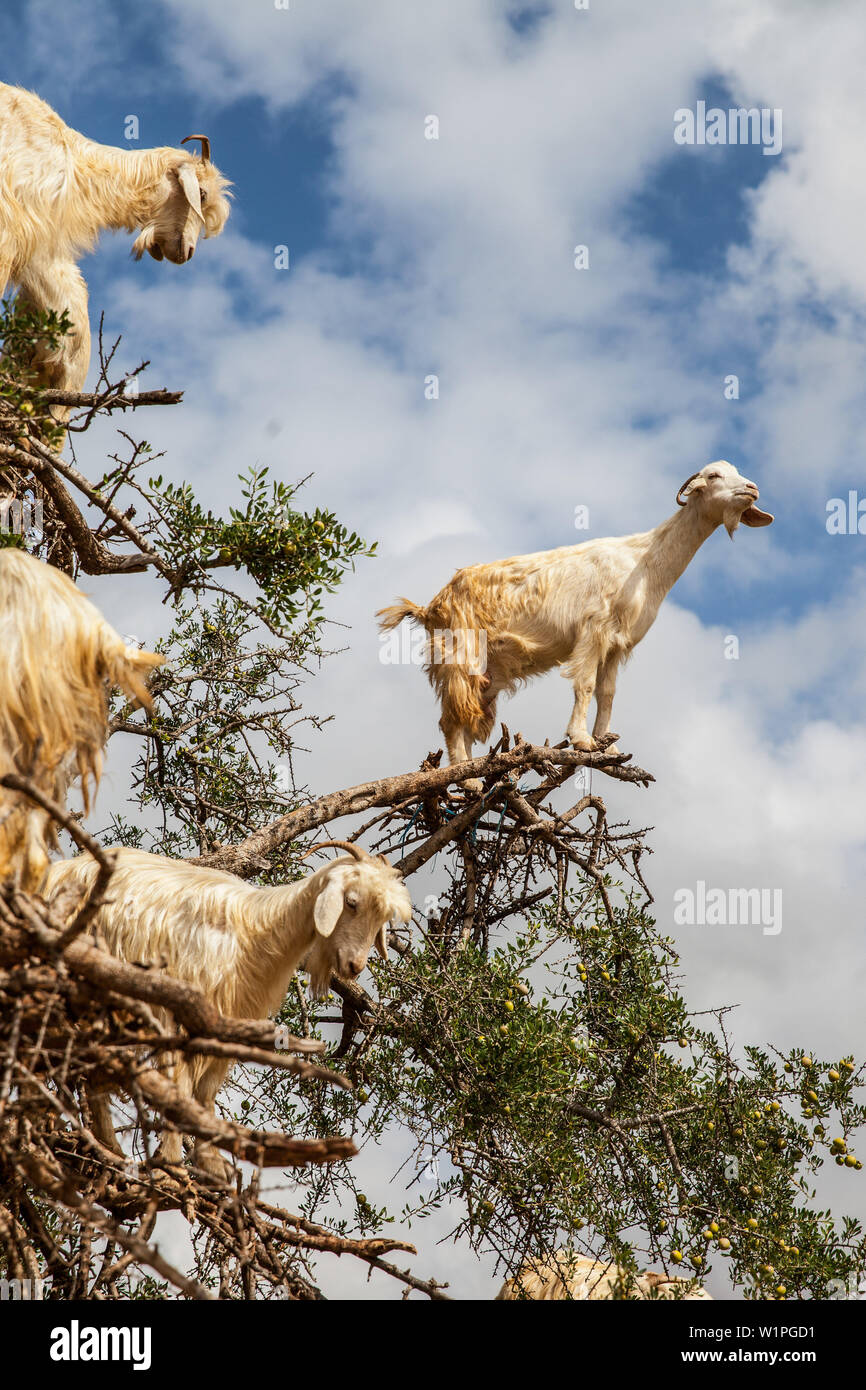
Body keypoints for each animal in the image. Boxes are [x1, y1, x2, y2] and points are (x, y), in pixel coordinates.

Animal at [44, 840, 413, 1178]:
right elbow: (181, 1089)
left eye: (382, 917)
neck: (259, 930)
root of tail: (60, 872)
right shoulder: (182, 1013)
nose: (354, 965)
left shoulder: (229, 1020)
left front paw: (211, 1165)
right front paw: (173, 1164)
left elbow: (206, 1094)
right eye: (351, 903)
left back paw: (105, 1147)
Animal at [379, 462, 773, 787]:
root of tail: (430, 607)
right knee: (451, 719)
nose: (752, 488)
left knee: (465, 717)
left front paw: (608, 748)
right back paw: (468, 779)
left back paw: (470, 773)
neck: (643, 562)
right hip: (460, 655)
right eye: (714, 475)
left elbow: (607, 692)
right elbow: (584, 686)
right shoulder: (593, 631)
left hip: (485, 674)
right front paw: (582, 740)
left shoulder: (618, 644)